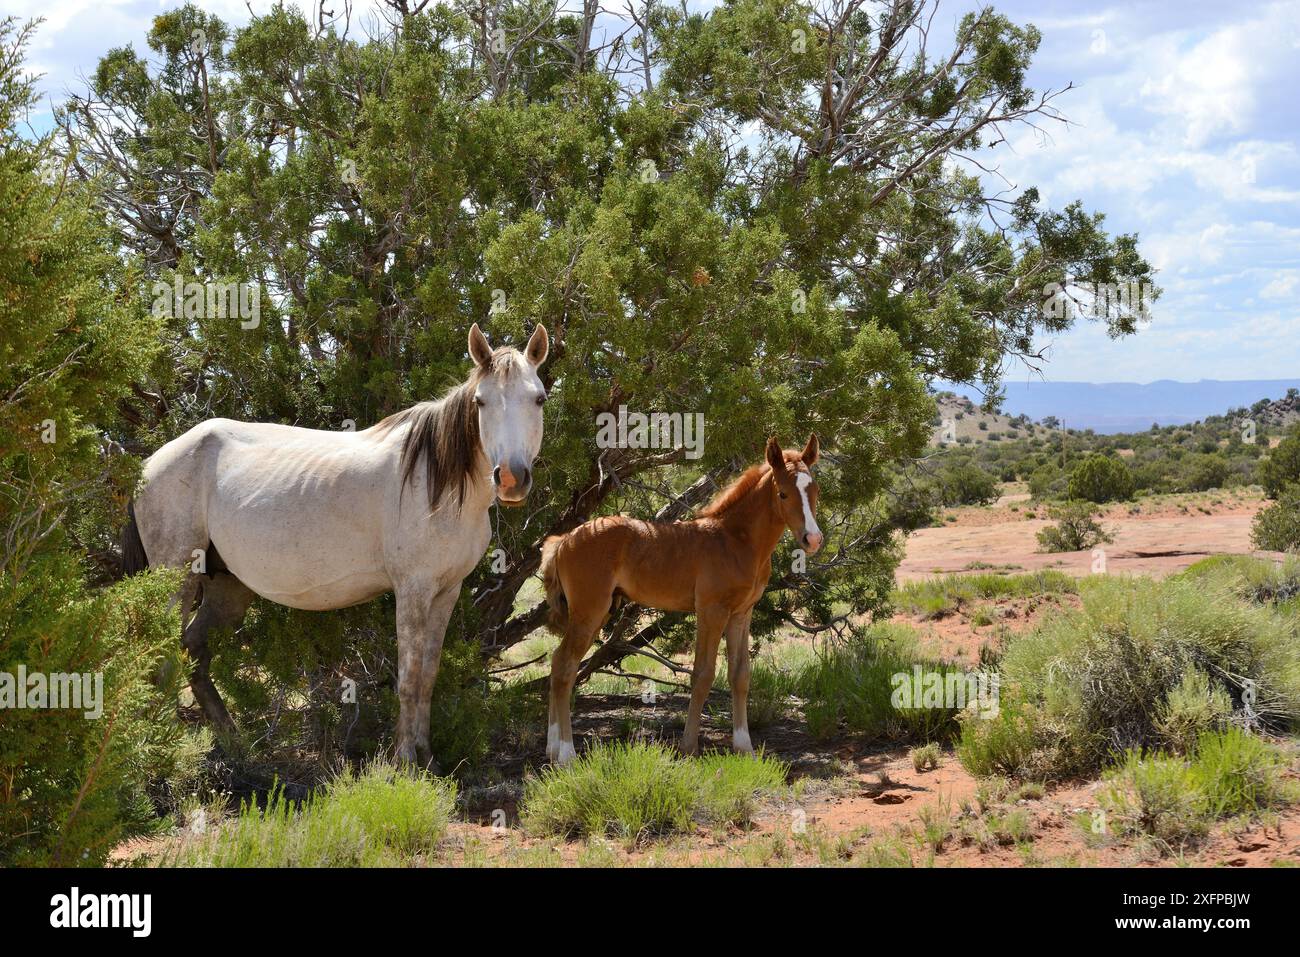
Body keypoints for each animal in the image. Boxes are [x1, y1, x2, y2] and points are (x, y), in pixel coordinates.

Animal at [120, 323, 549, 766]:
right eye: (481, 401)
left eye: (539, 398)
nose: (511, 478)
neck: (438, 481)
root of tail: (150, 463)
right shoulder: (412, 588)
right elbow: (409, 677)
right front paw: (404, 761)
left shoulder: (447, 589)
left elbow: (428, 676)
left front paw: (427, 757)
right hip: (176, 578)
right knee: (162, 656)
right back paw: (158, 753)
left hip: (227, 586)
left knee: (194, 651)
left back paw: (235, 744)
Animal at [539, 434, 822, 765]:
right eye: (783, 493)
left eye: (814, 490)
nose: (813, 539)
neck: (734, 540)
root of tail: (564, 540)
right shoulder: (712, 610)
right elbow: (703, 674)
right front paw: (688, 747)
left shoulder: (742, 613)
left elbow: (740, 675)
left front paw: (745, 747)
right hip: (589, 610)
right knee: (565, 666)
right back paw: (567, 753)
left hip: (597, 611)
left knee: (558, 662)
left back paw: (552, 747)